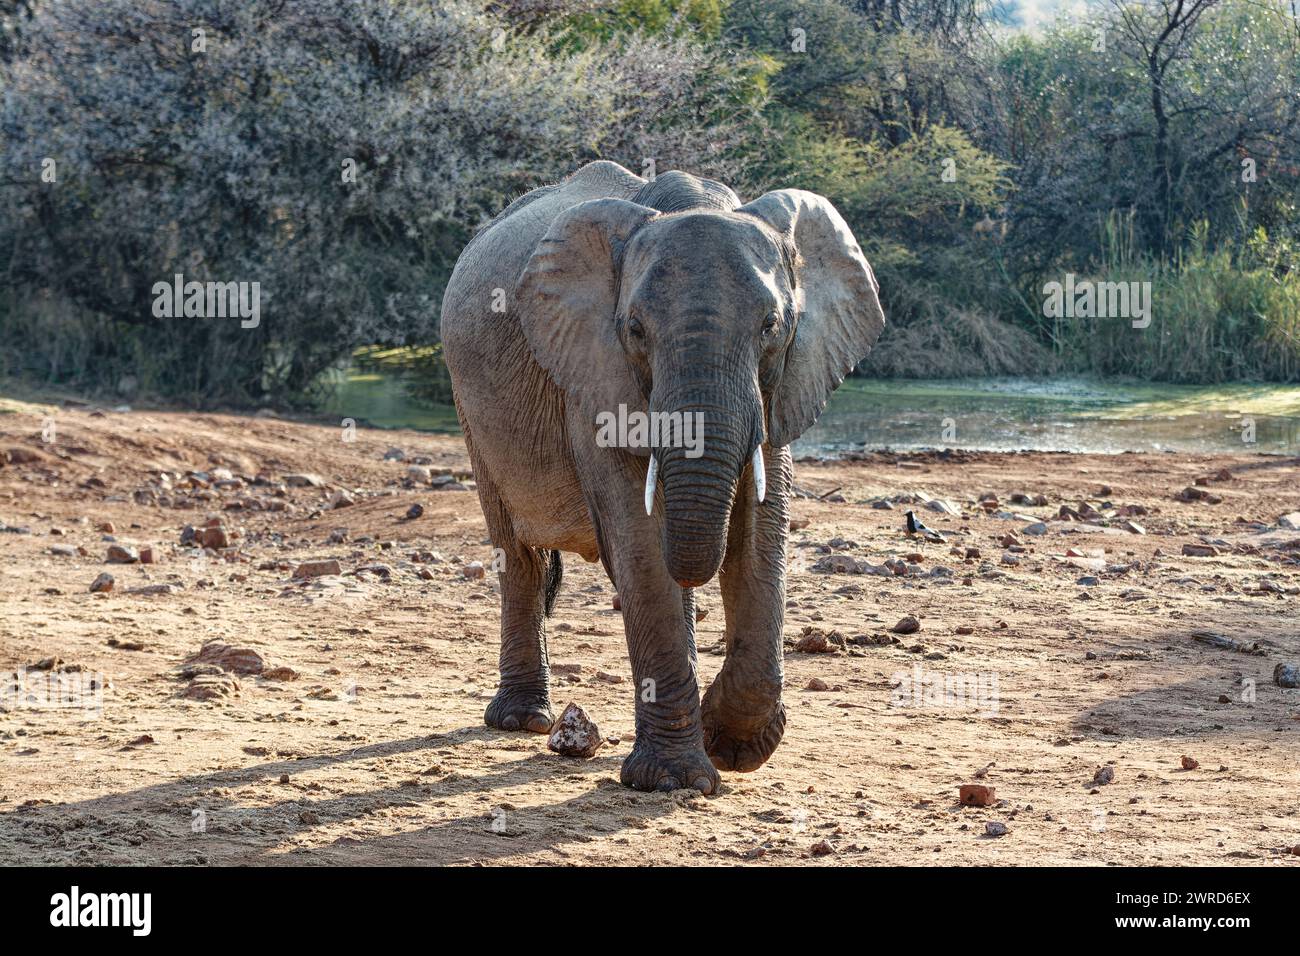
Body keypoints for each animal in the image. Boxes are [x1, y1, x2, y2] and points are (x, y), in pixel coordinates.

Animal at [440, 161, 885, 794]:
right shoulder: (592, 370)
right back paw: (524, 721)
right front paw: (673, 779)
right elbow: (641, 542)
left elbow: (761, 532)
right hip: (469, 407)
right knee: (518, 554)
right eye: (634, 329)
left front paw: (731, 746)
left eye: (772, 325)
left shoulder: (784, 379)